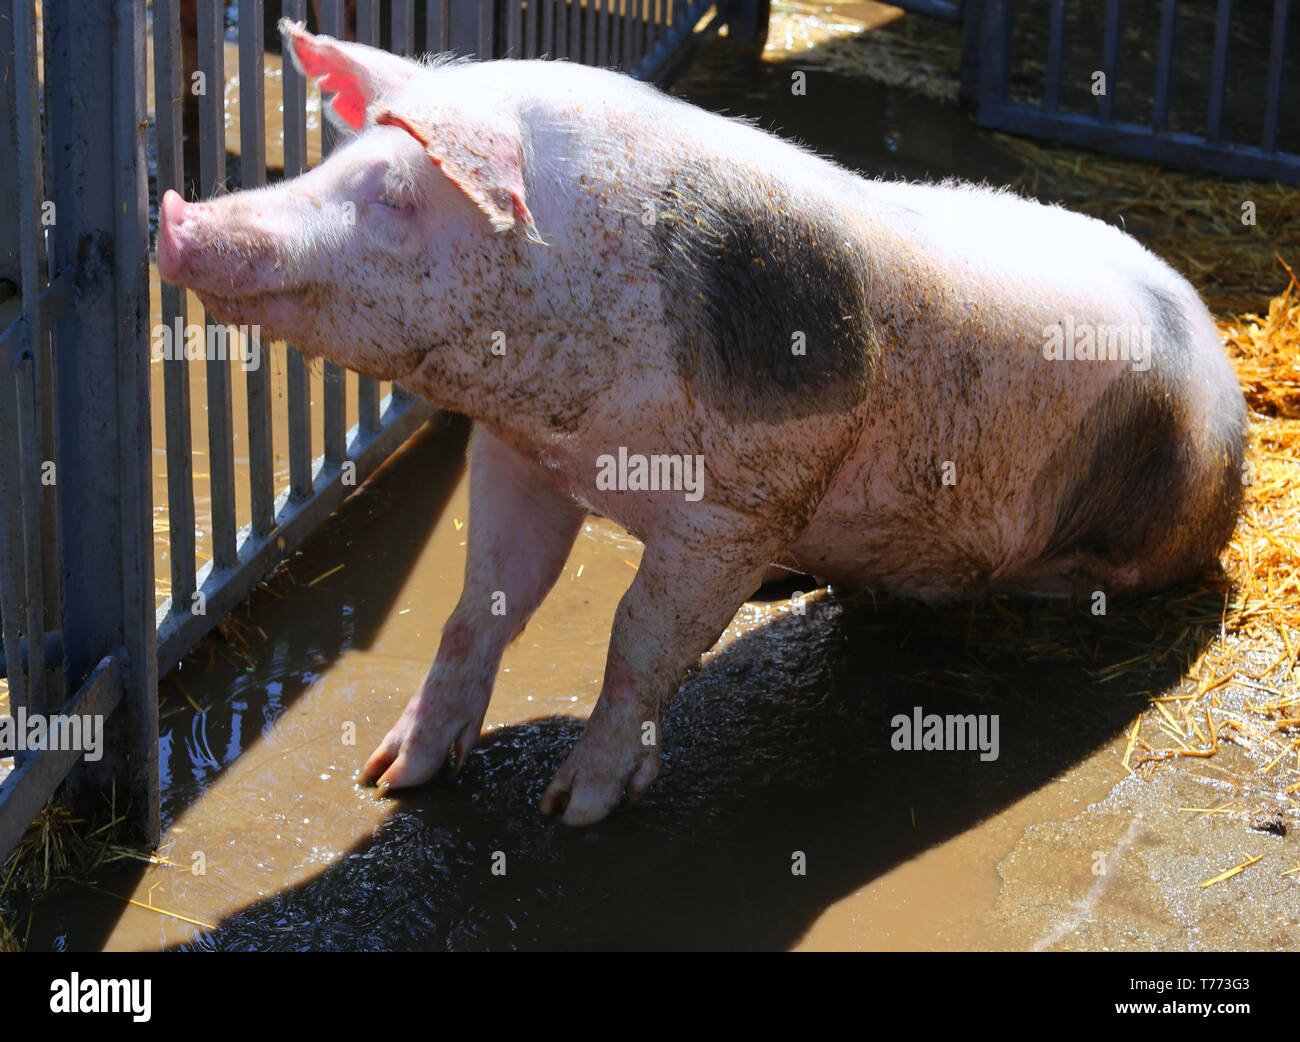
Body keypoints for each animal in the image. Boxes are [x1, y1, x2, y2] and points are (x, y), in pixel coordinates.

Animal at [155, 22, 1247, 825]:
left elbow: (639, 637)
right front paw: (390, 777)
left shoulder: (740, 504)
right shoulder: (518, 455)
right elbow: (481, 604)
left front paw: (572, 809)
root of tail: (1221, 368)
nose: (175, 213)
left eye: (391, 194)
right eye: (338, 156)